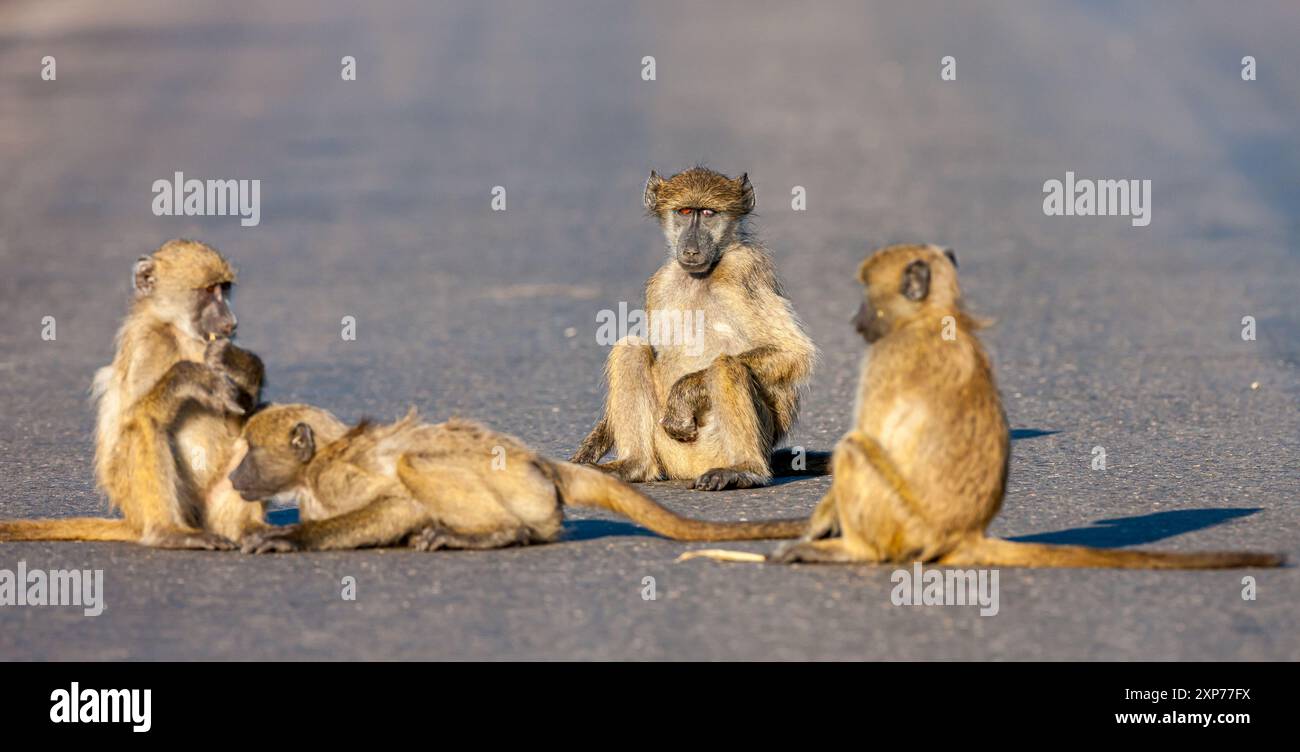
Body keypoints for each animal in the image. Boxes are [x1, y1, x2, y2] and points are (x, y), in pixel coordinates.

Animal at [0, 239, 267, 549]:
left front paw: (241, 363)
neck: (178, 331)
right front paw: (188, 377)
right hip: (135, 497)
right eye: (208, 291)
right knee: (144, 426)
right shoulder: (147, 344)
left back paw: (250, 530)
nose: (230, 322)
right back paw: (168, 532)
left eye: (224, 288)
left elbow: (238, 417)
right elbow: (133, 415)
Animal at [229, 404, 809, 554]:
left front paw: (288, 538)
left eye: (251, 452)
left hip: (522, 491)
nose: (235, 476)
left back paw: (500, 533)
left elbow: (399, 502)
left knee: (417, 464)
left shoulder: (338, 479)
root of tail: (540, 464)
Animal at [571, 167, 820, 491]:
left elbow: (792, 353)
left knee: (726, 365)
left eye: (709, 213)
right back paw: (632, 466)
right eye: (685, 212)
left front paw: (682, 394)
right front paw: (592, 446)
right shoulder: (660, 284)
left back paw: (744, 470)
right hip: (665, 448)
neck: (700, 277)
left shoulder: (747, 269)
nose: (690, 250)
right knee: (629, 349)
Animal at [686, 244, 1284, 569]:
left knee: (858, 449)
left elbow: (871, 438)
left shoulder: (888, 360)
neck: (935, 318)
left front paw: (815, 530)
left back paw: (851, 551)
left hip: (906, 527)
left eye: (866, 295)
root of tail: (962, 534)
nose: (856, 319)